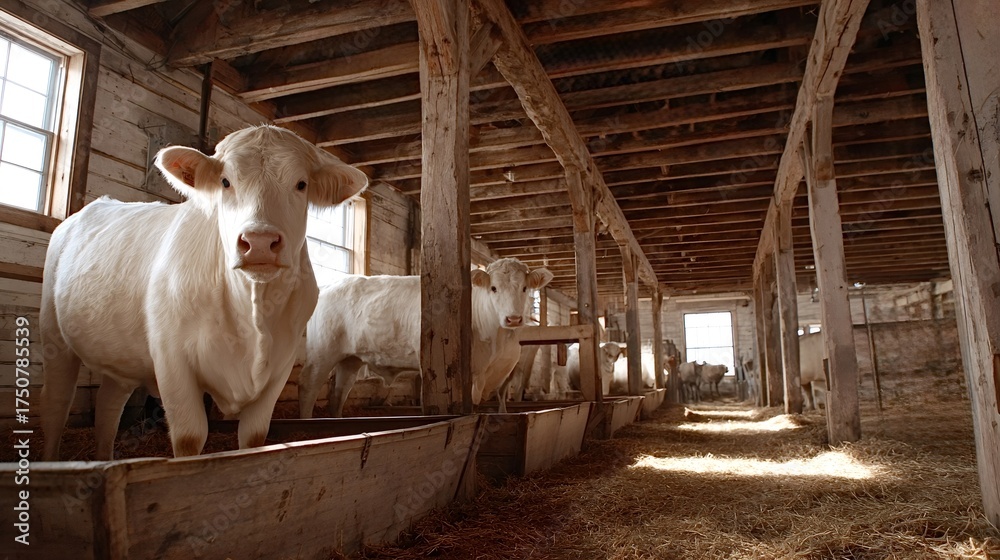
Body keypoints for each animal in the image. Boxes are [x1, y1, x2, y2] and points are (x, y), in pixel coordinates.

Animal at [40, 125, 368, 460]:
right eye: (225, 181)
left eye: (301, 184)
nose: (259, 241)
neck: (253, 307)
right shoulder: (171, 358)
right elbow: (189, 438)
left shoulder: (280, 365)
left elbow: (254, 438)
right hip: (54, 337)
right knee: (56, 403)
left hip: (120, 358)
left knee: (108, 407)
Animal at [297, 258, 553, 417]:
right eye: (493, 288)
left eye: (523, 288)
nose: (513, 319)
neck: (499, 341)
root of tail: (330, 285)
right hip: (321, 353)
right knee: (308, 387)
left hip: (350, 360)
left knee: (338, 394)